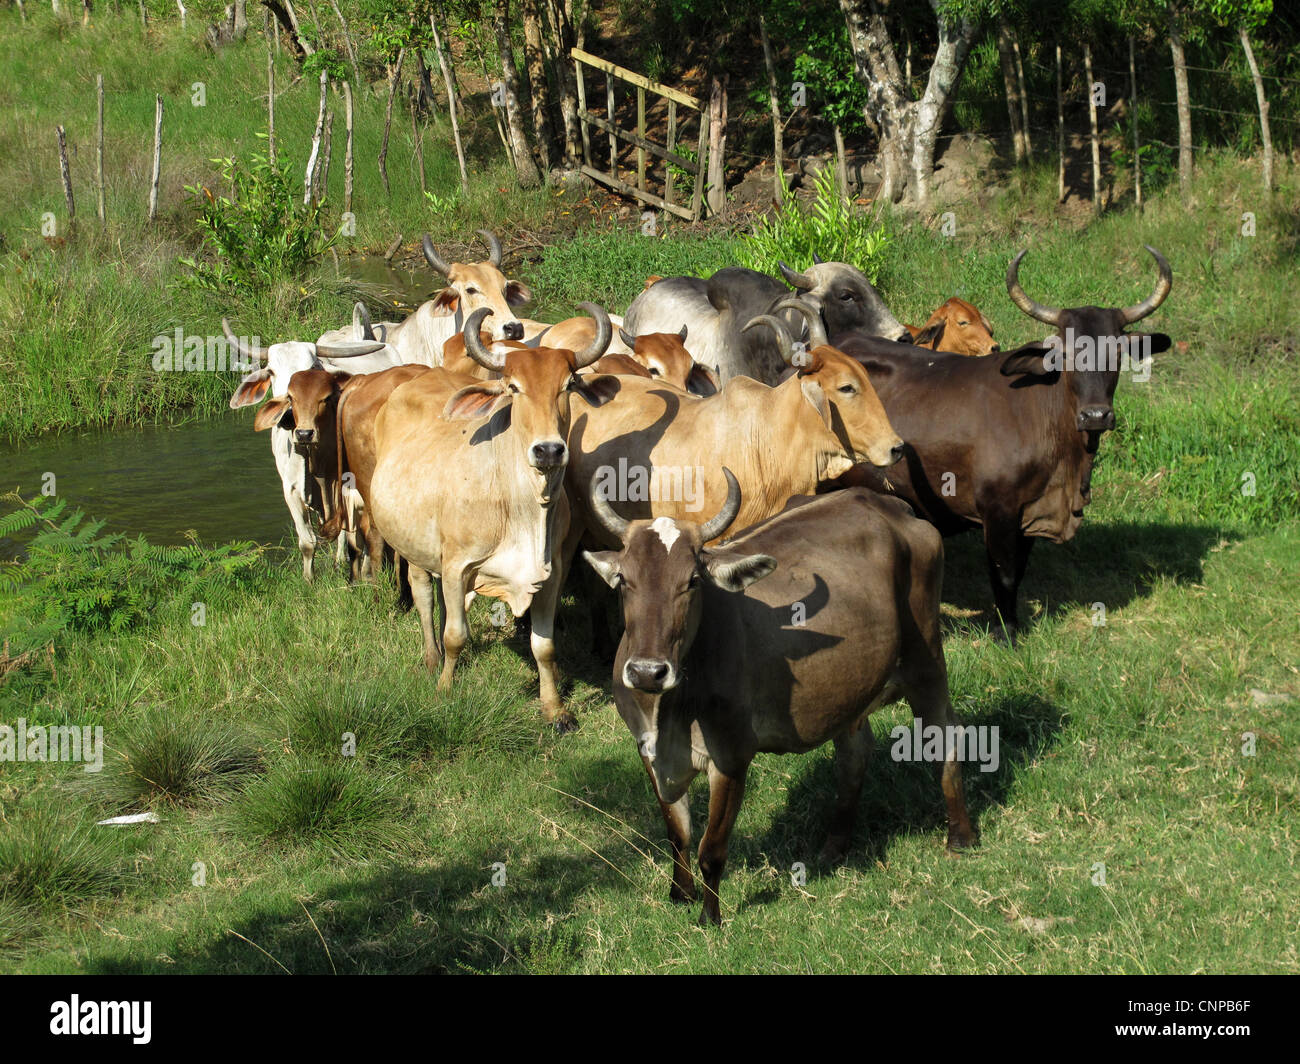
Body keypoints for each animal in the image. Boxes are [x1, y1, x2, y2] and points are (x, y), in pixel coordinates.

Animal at [366, 304, 616, 730]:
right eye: (513, 387)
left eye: (568, 384)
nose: (548, 450)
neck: (522, 509)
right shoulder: (456, 565)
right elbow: (455, 636)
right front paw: (445, 689)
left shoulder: (552, 572)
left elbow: (544, 646)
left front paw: (555, 709)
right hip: (413, 546)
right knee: (423, 595)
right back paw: (431, 659)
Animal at [581, 473, 977, 925]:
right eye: (623, 580)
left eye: (692, 581)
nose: (648, 671)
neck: (670, 711)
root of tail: (889, 505)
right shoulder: (648, 751)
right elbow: (677, 833)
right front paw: (679, 894)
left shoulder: (732, 757)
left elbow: (711, 849)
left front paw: (709, 917)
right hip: (850, 690)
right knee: (855, 753)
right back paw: (834, 846)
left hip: (925, 660)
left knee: (946, 734)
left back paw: (960, 836)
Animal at [834, 245, 1173, 640]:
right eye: (1066, 354)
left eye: (1117, 352)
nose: (1095, 416)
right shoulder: (997, 509)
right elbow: (1005, 573)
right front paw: (1005, 631)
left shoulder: (1029, 509)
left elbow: (1020, 569)